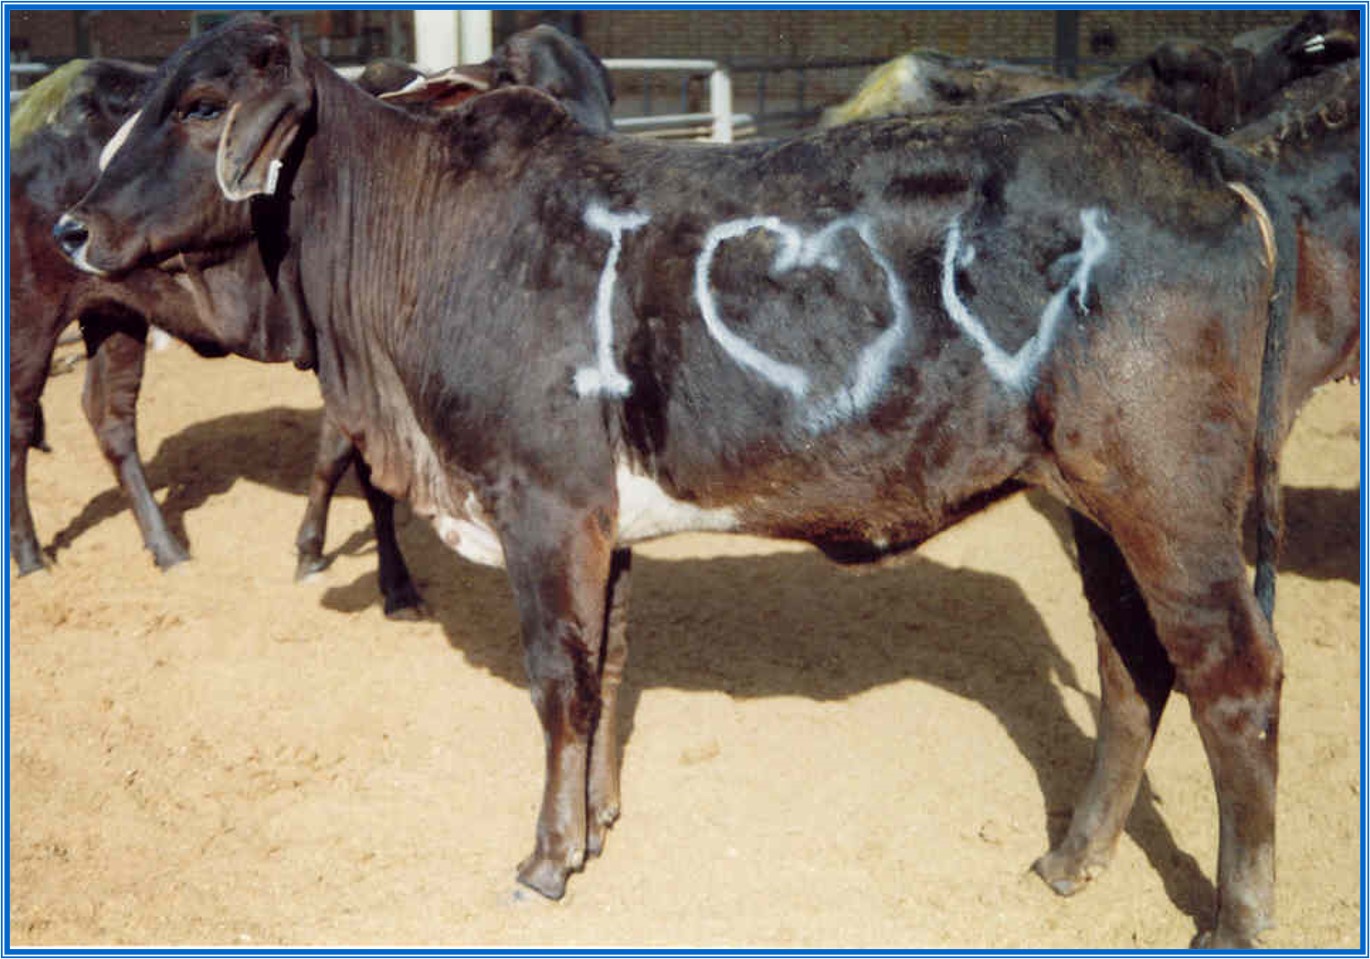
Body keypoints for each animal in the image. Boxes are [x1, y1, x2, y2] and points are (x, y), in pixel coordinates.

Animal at [57, 17, 1296, 947]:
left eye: (201, 107)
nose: (72, 224)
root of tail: (1204, 156)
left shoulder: (545, 502)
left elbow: (558, 681)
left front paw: (548, 855)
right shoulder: (602, 524)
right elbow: (604, 668)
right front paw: (596, 819)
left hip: (1166, 493)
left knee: (1231, 673)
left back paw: (1233, 916)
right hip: (1097, 502)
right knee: (1132, 667)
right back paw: (1070, 855)